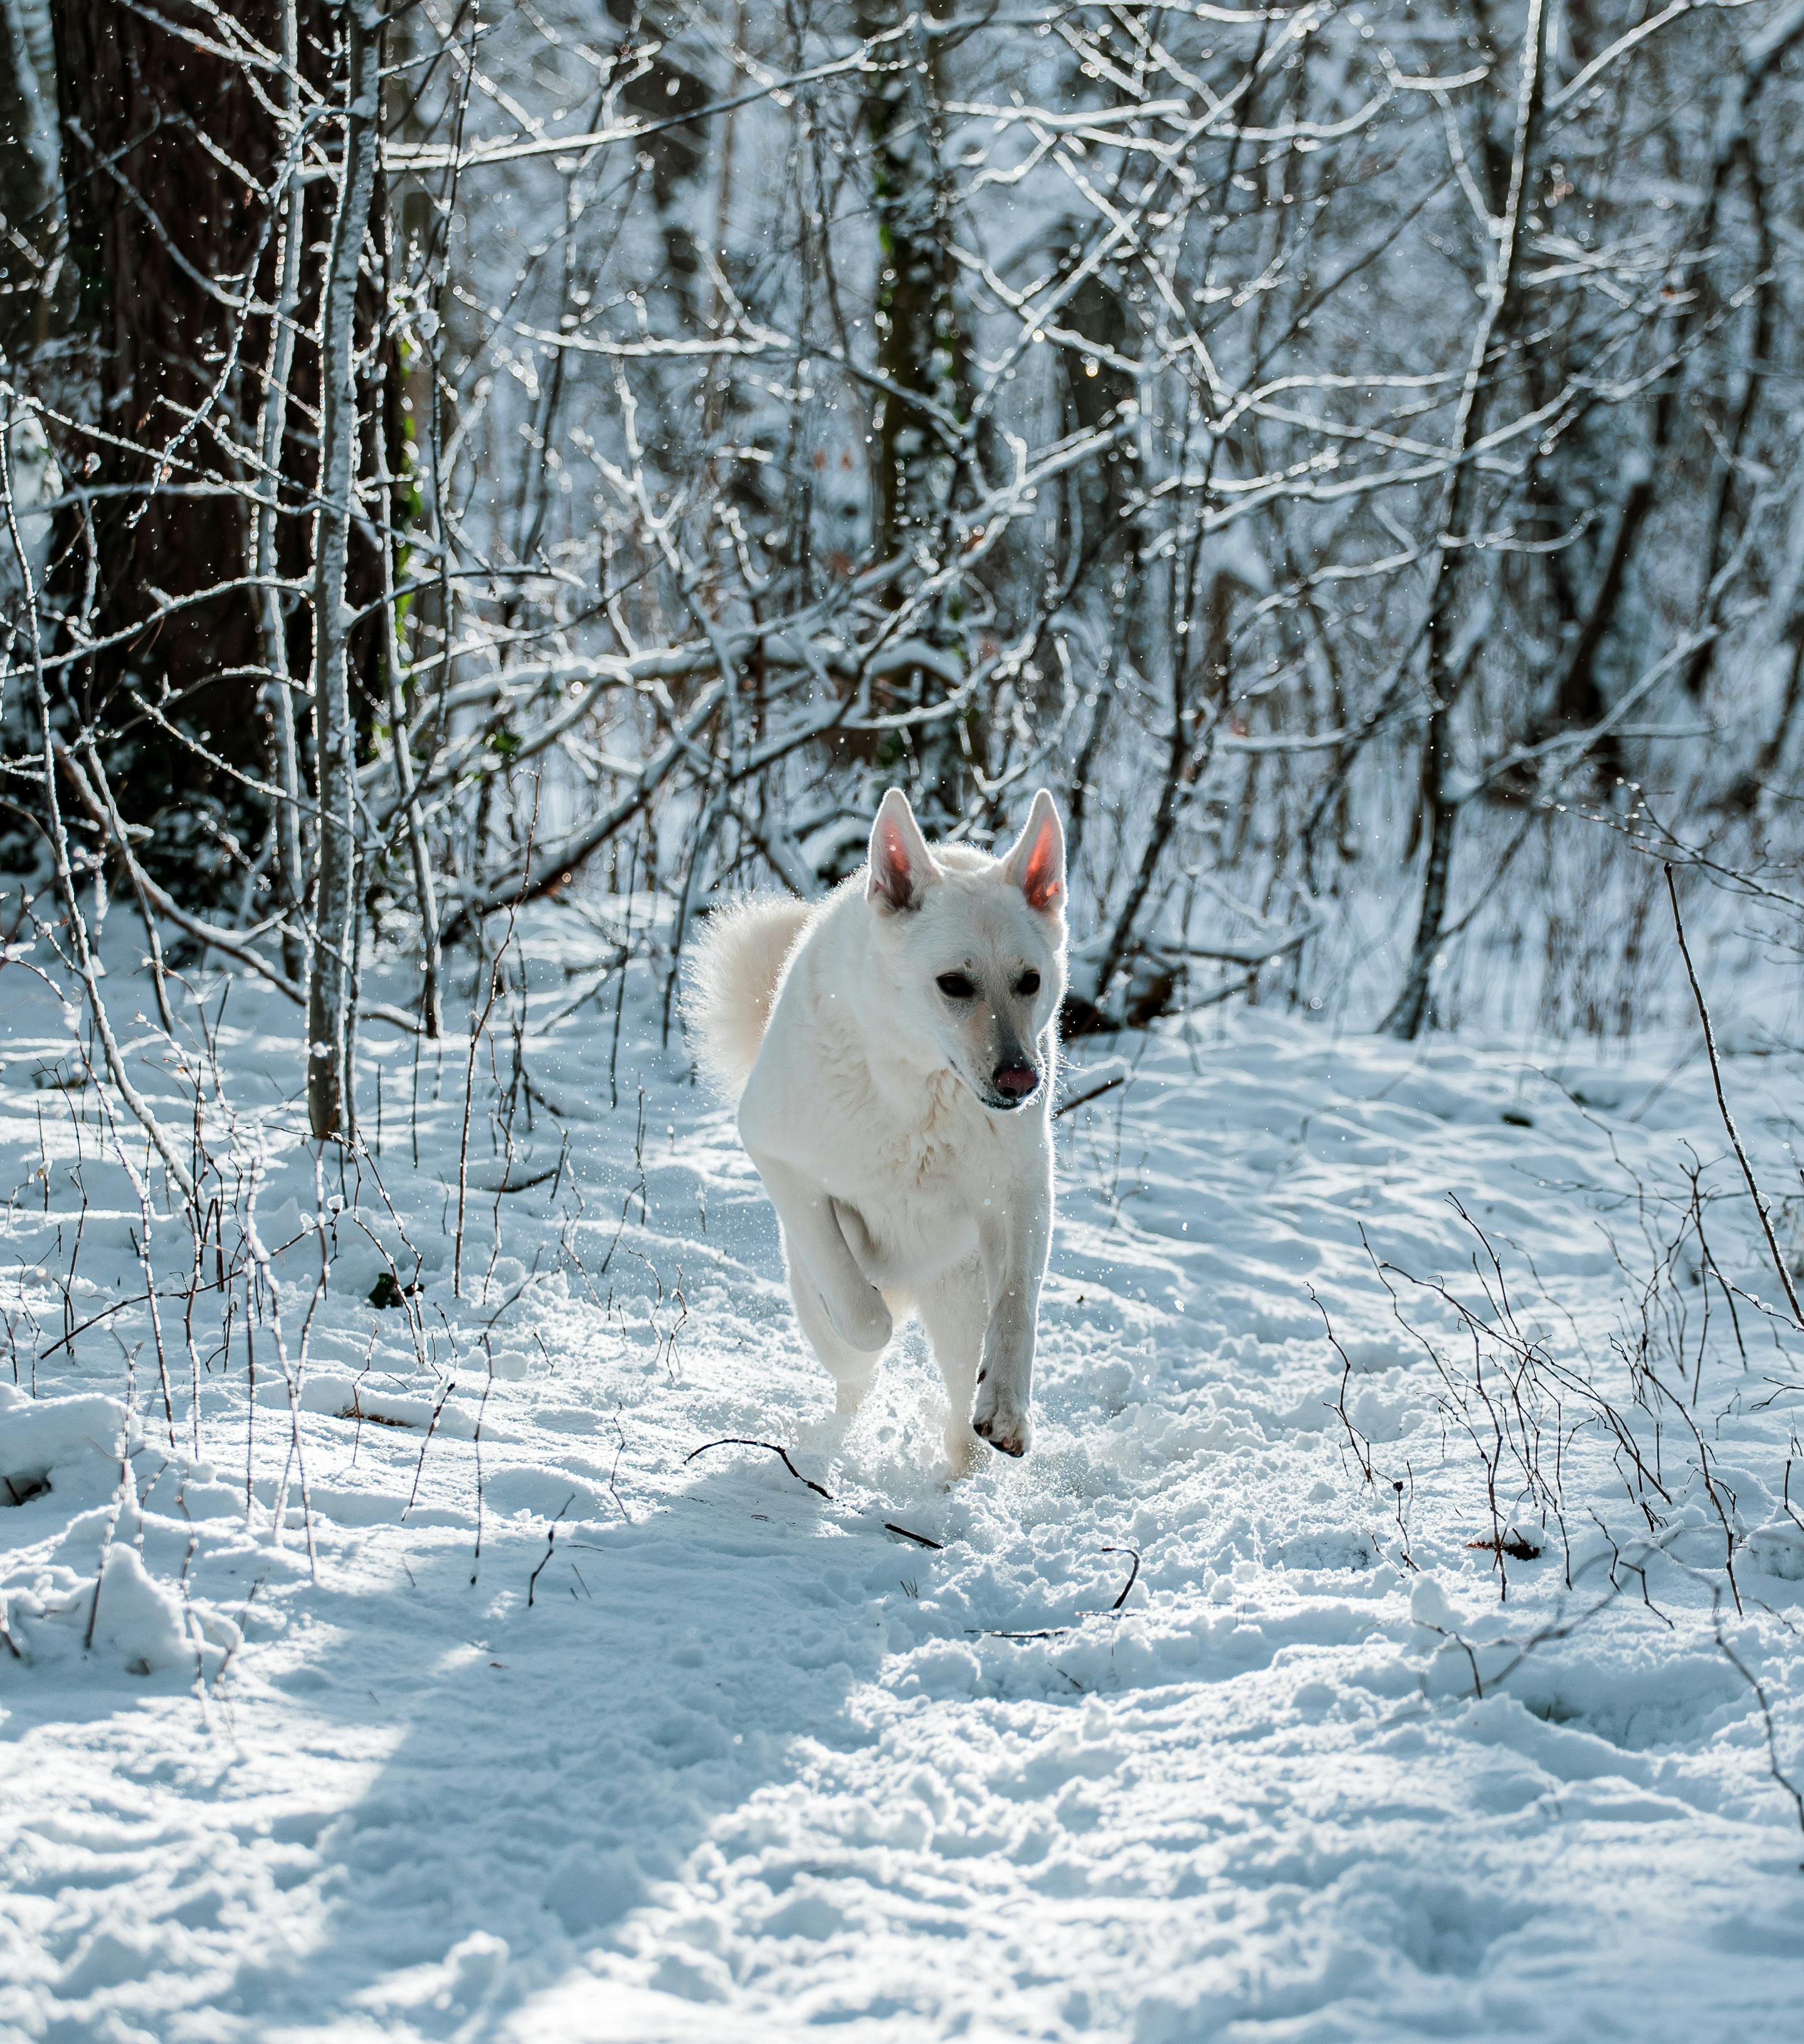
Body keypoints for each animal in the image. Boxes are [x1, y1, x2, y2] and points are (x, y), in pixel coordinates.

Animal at [686, 787, 1067, 1472]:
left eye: (1031, 980)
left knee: (959, 1394)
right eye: (953, 983)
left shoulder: (1022, 1189)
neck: (923, 1089)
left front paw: (1007, 1409)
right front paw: (867, 1307)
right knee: (854, 1370)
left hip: (960, 1306)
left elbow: (1018, 1305)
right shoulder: (778, 1153)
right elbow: (862, 1312)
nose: (1022, 1079)